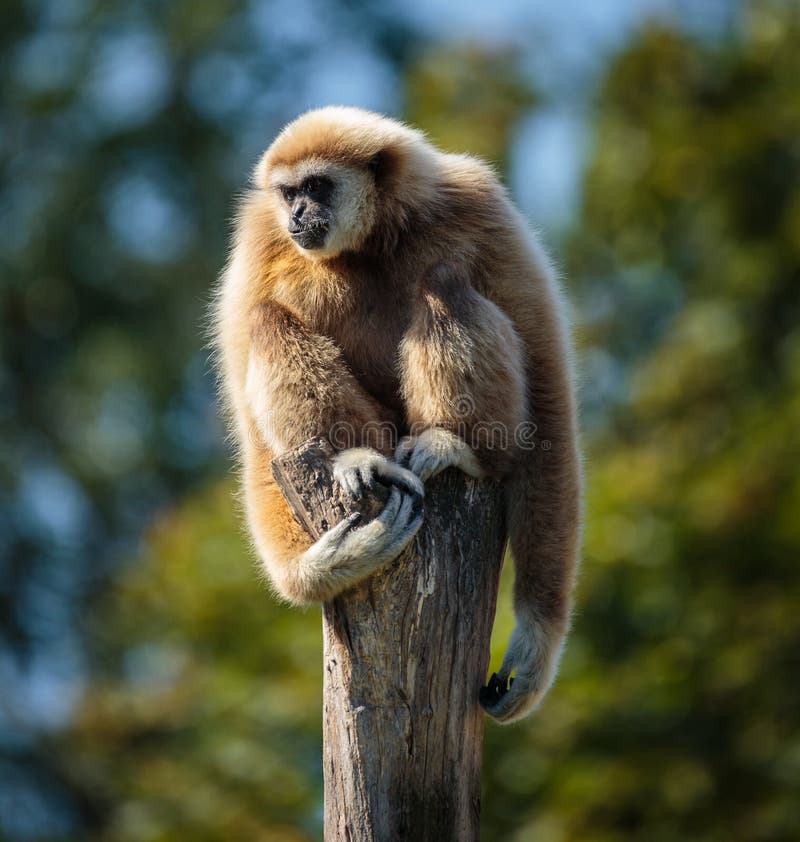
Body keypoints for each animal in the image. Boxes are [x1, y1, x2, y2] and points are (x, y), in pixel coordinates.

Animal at [212, 107, 581, 723]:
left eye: (317, 186)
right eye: (288, 193)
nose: (298, 214)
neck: (372, 239)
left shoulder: (480, 204)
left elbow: (549, 391)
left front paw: (535, 646)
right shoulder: (262, 236)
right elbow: (254, 441)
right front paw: (319, 571)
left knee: (444, 281)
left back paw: (456, 446)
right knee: (266, 317)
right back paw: (357, 457)